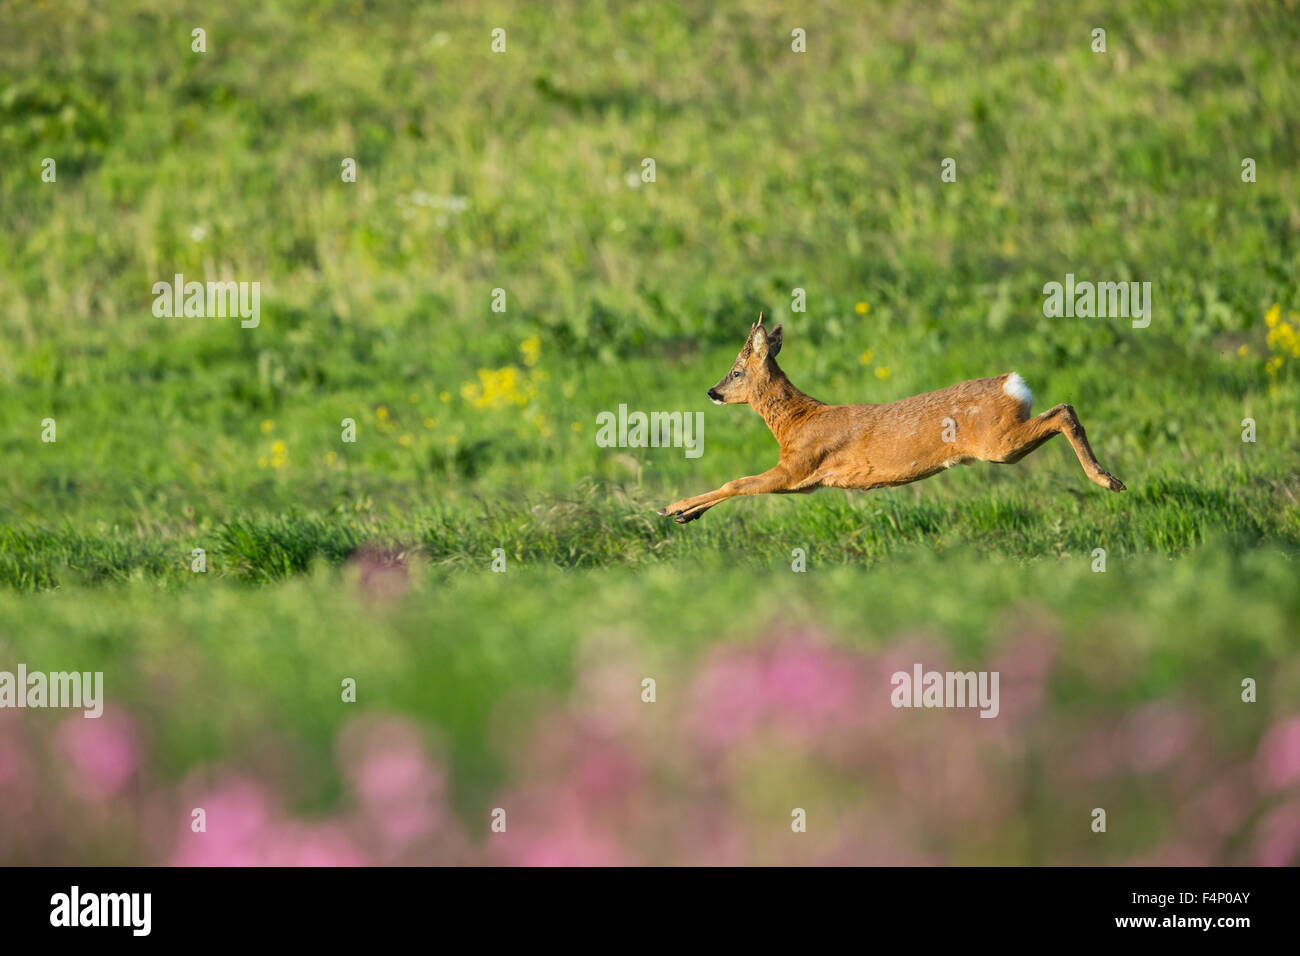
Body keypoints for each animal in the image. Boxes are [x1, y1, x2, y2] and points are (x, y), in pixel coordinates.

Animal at [657, 313, 1125, 524]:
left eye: (736, 371)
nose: (712, 392)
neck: (794, 423)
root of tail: (1014, 384)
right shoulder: (804, 480)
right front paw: (685, 515)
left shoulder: (797, 468)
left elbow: (736, 483)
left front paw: (672, 508)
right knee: (1065, 409)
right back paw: (1112, 479)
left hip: (998, 442)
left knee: (1062, 411)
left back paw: (1107, 480)